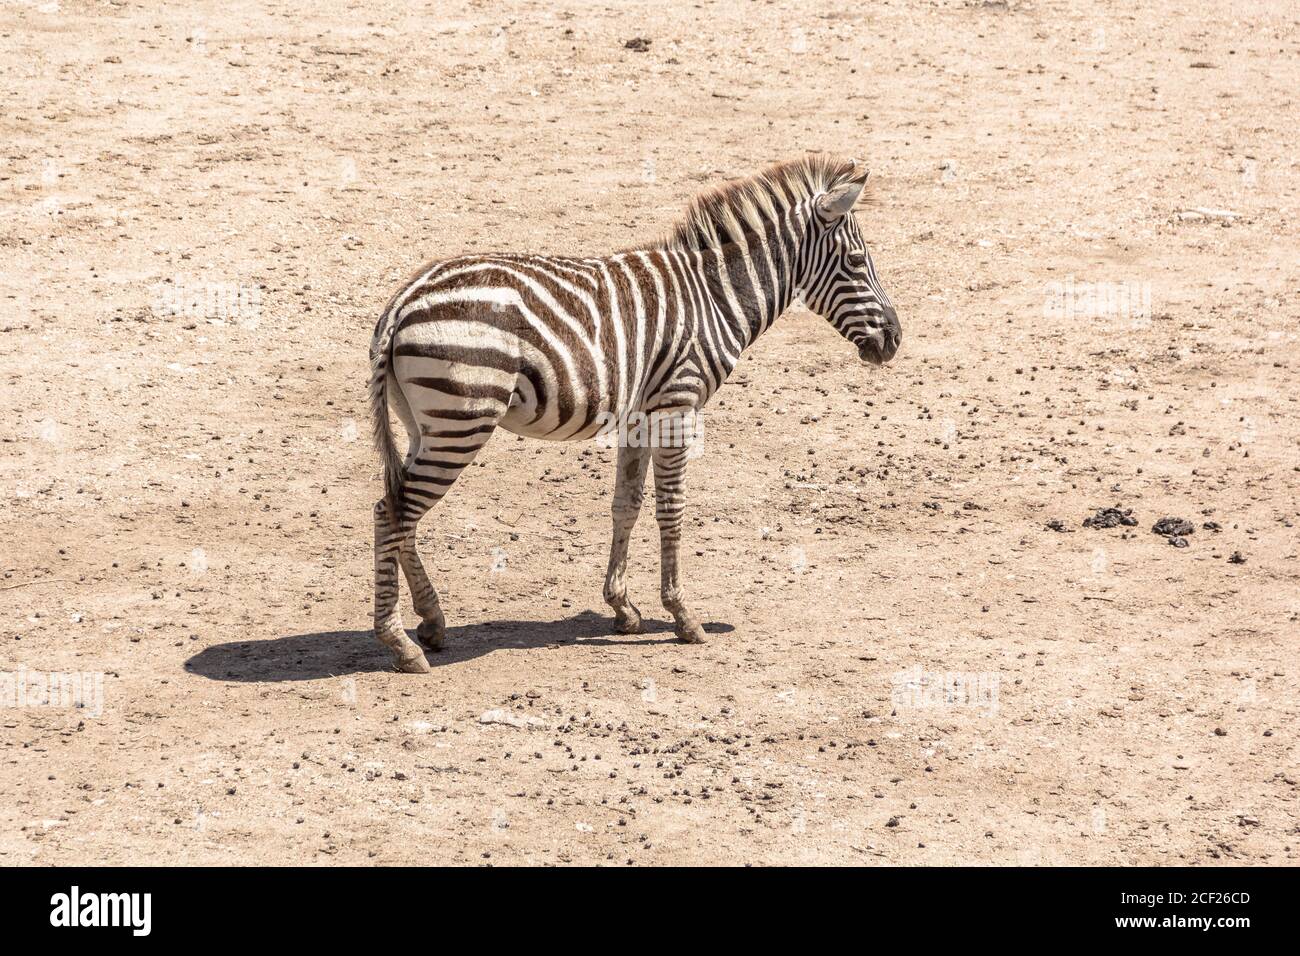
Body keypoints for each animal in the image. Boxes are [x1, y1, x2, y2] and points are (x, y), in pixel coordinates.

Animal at [368, 154, 900, 672]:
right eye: (858, 261)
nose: (895, 339)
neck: (714, 296)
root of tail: (403, 300)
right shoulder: (676, 405)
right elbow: (671, 509)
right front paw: (683, 616)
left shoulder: (639, 417)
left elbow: (626, 505)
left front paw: (622, 607)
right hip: (462, 420)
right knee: (393, 511)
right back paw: (400, 644)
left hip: (426, 426)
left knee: (397, 506)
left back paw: (432, 623)